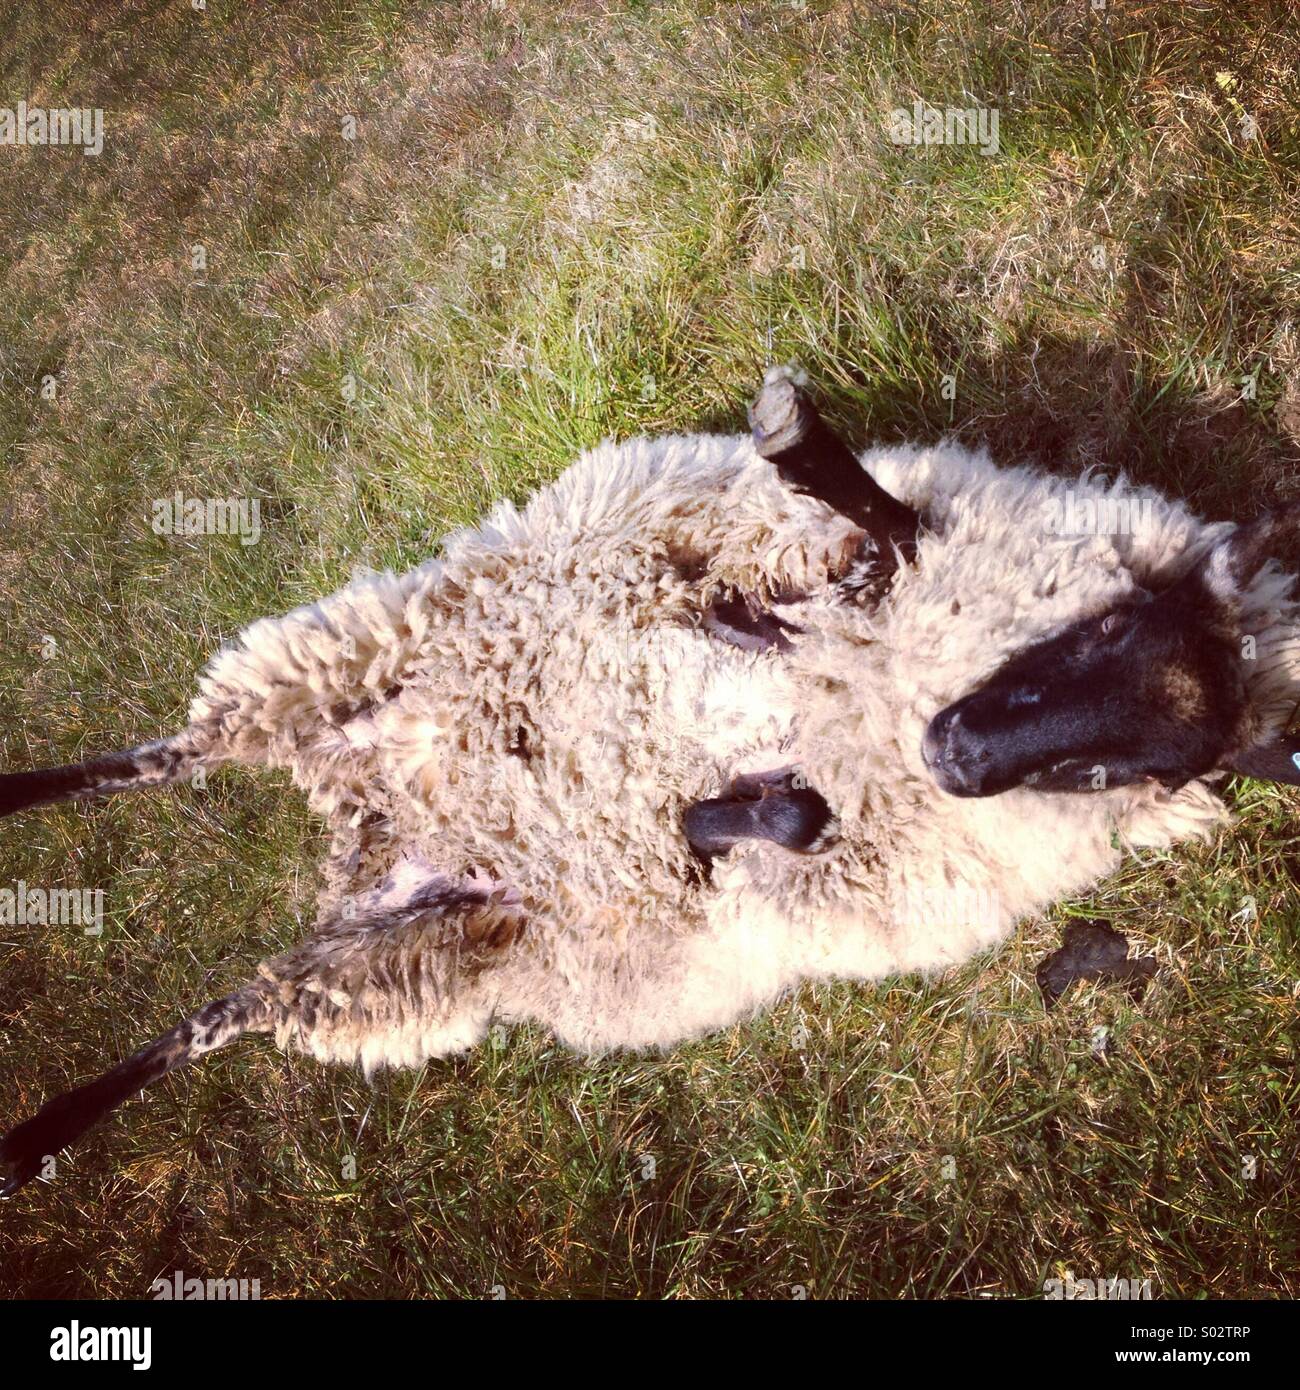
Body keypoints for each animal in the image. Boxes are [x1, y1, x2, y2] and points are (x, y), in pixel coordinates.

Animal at [2, 370, 1299, 1197]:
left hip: (402, 959)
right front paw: (791, 459)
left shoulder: (768, 844)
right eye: (1103, 628)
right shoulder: (861, 570)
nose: (955, 757)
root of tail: (371, 826)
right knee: (161, 760)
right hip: (331, 660)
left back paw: (31, 1140)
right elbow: (872, 526)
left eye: (1112, 766)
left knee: (220, 1009)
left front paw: (737, 750)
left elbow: (768, 810)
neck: (889, 687)